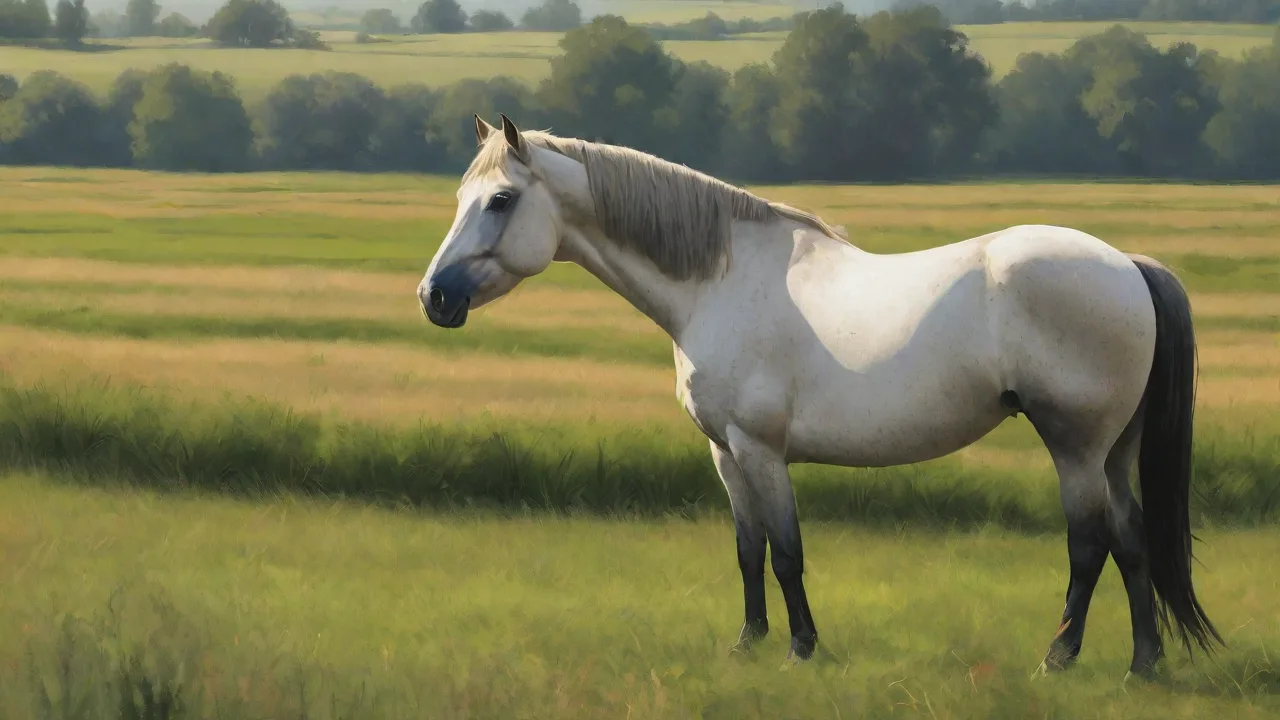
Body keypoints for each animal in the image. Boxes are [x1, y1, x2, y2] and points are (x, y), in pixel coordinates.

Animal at [416, 113, 1223, 678]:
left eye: (500, 200)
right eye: (460, 197)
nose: (434, 297)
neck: (721, 280)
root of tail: (1128, 264)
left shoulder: (760, 449)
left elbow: (786, 551)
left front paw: (801, 647)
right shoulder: (724, 453)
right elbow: (747, 549)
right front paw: (747, 643)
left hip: (1075, 447)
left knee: (1089, 544)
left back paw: (1058, 658)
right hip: (1113, 451)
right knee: (1131, 538)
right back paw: (1142, 663)